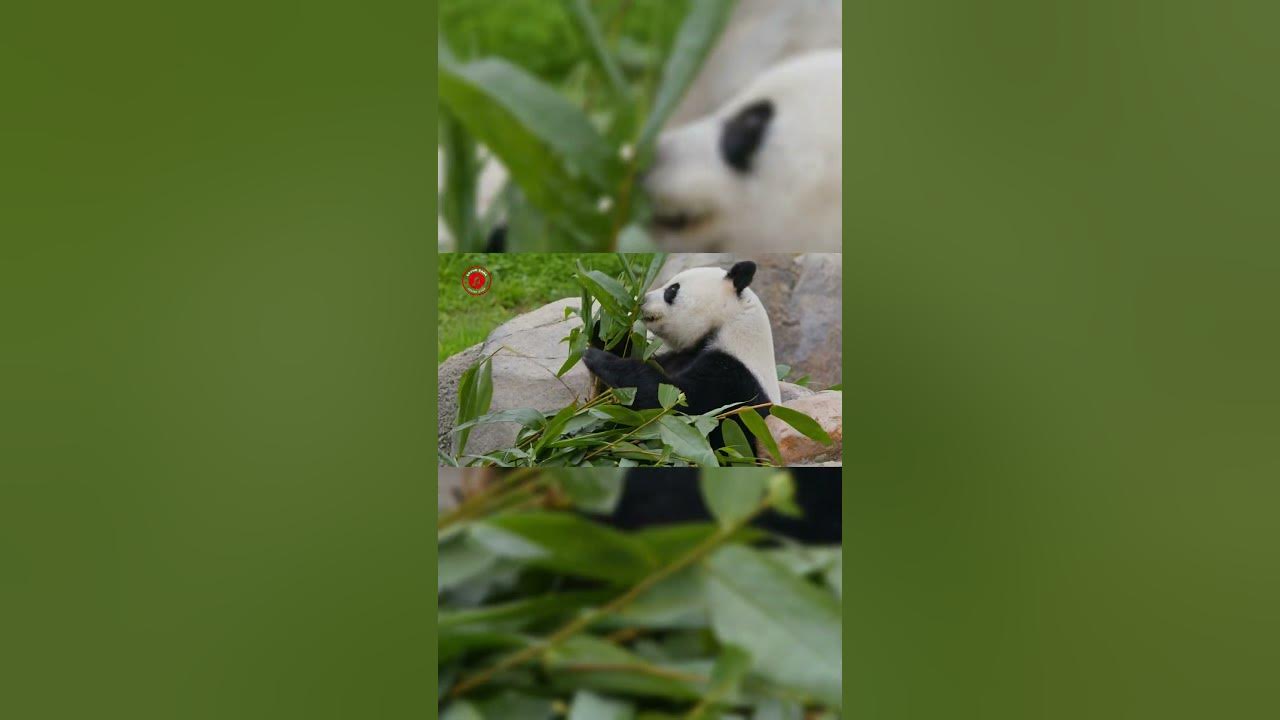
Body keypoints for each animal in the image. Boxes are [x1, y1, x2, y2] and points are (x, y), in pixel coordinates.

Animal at [582, 260, 780, 456]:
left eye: (672, 289)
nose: (643, 300)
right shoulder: (678, 355)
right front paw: (603, 327)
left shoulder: (734, 382)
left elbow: (675, 403)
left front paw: (599, 358)